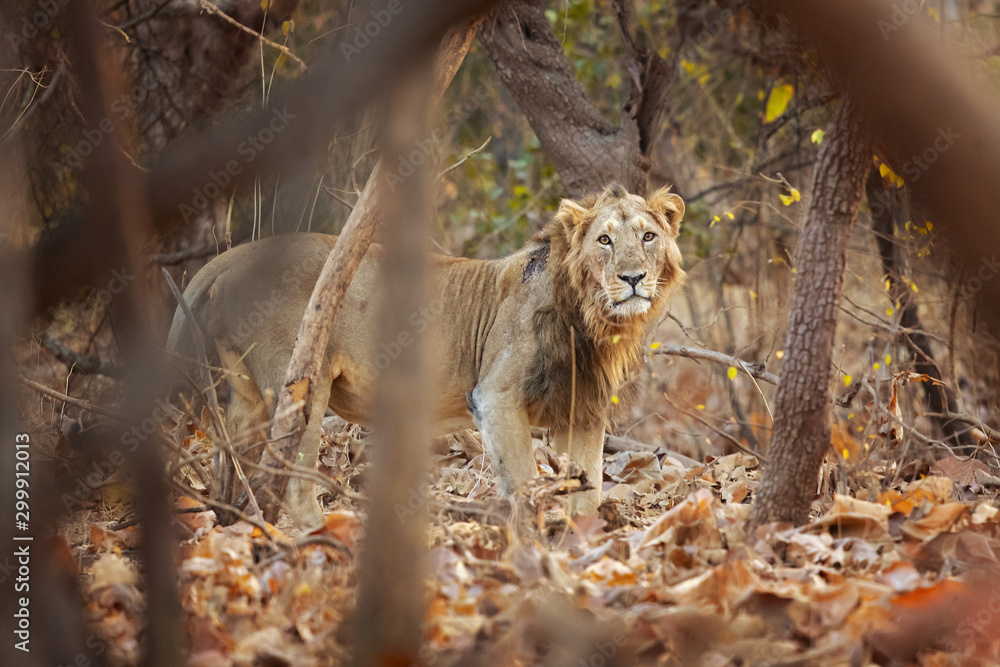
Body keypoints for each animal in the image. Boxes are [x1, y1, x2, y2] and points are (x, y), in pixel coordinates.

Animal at [167, 183, 685, 530]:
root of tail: (231, 257)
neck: (596, 321)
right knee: (293, 482)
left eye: (648, 237)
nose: (634, 278)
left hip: (247, 397)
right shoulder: (495, 397)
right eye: (604, 240)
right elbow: (523, 483)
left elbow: (589, 490)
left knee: (231, 464)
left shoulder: (582, 410)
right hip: (299, 386)